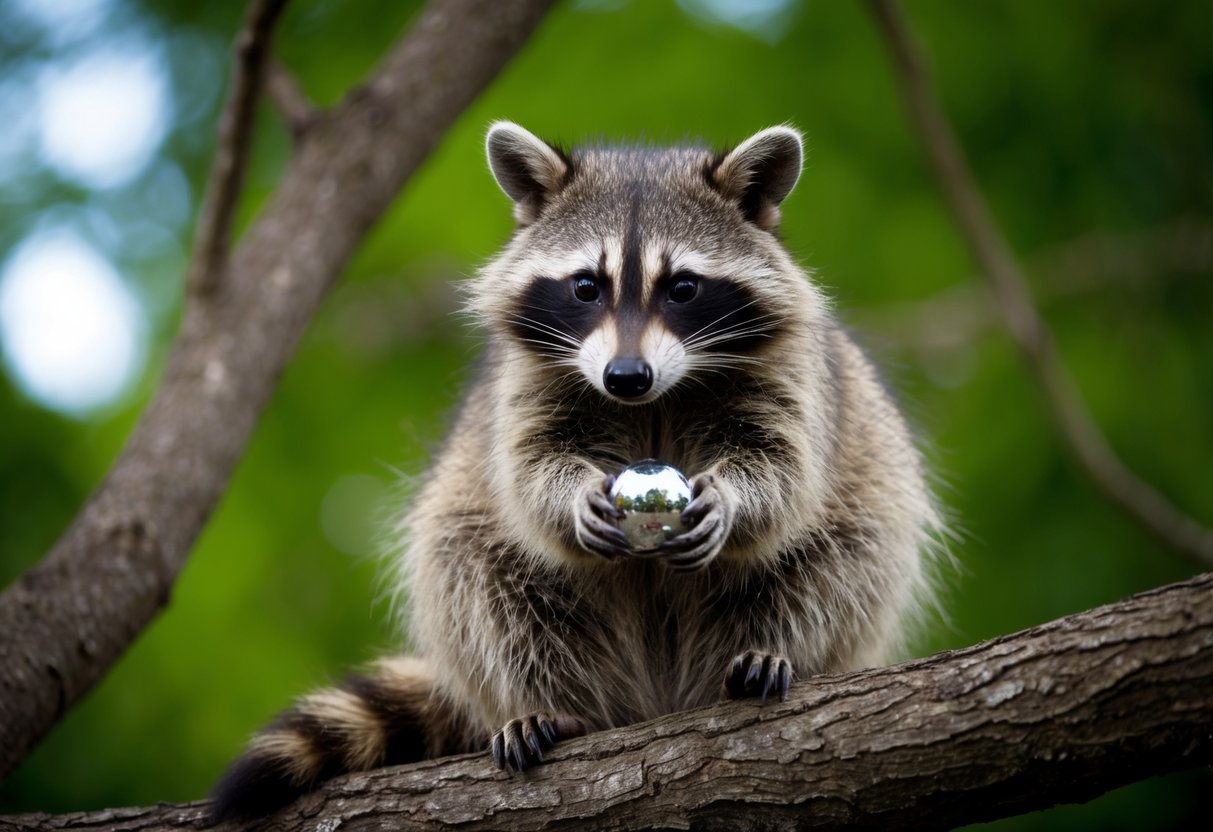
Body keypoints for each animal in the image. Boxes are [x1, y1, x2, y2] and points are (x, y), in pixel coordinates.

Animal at [210, 122, 938, 819]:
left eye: (683, 288)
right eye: (587, 286)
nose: (625, 376)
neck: (654, 398)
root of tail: (657, 701)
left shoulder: (796, 375)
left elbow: (783, 466)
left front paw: (733, 500)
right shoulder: (524, 383)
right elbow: (528, 468)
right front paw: (569, 498)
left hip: (866, 502)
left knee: (838, 566)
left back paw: (770, 654)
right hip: (483, 551)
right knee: (475, 579)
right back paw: (552, 708)